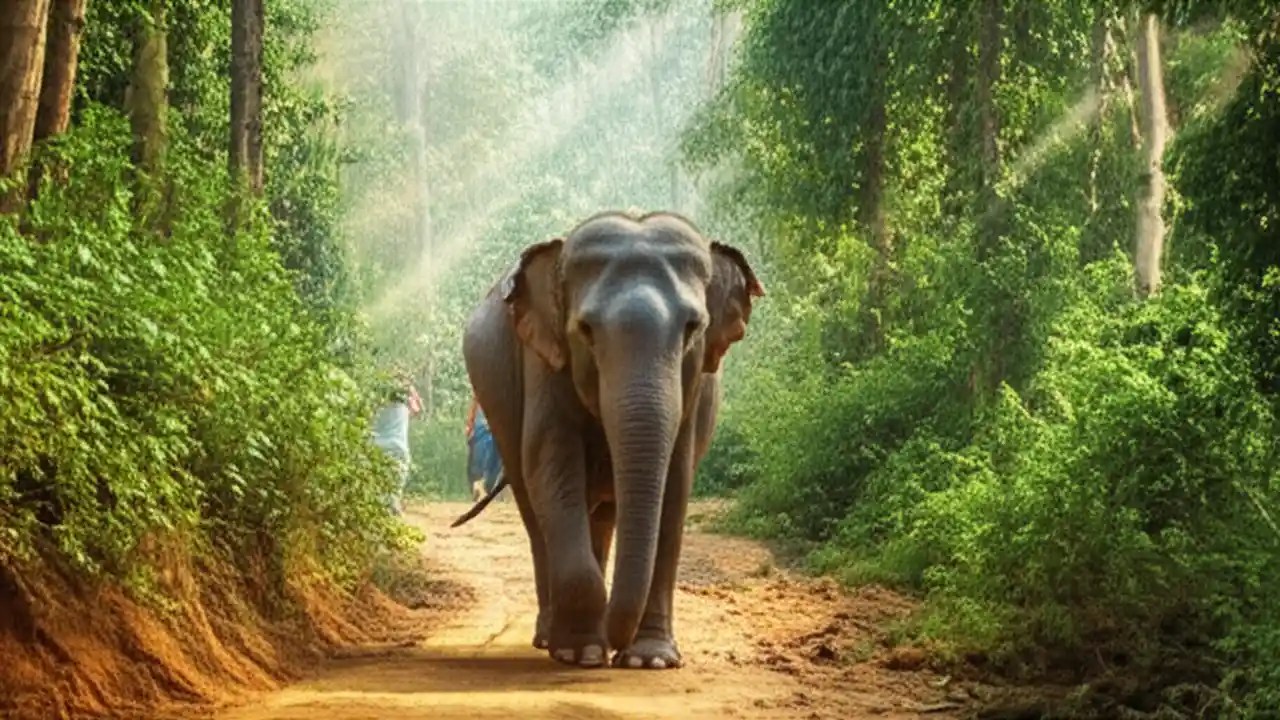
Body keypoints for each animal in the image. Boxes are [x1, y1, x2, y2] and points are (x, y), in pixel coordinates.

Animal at [460, 210, 763, 670]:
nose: (615, 641)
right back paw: (549, 636)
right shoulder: (543, 362)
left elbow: (675, 486)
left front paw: (649, 660)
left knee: (600, 517)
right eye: (585, 329)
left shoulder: (694, 390)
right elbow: (551, 465)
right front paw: (581, 652)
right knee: (536, 510)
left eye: (693, 328)